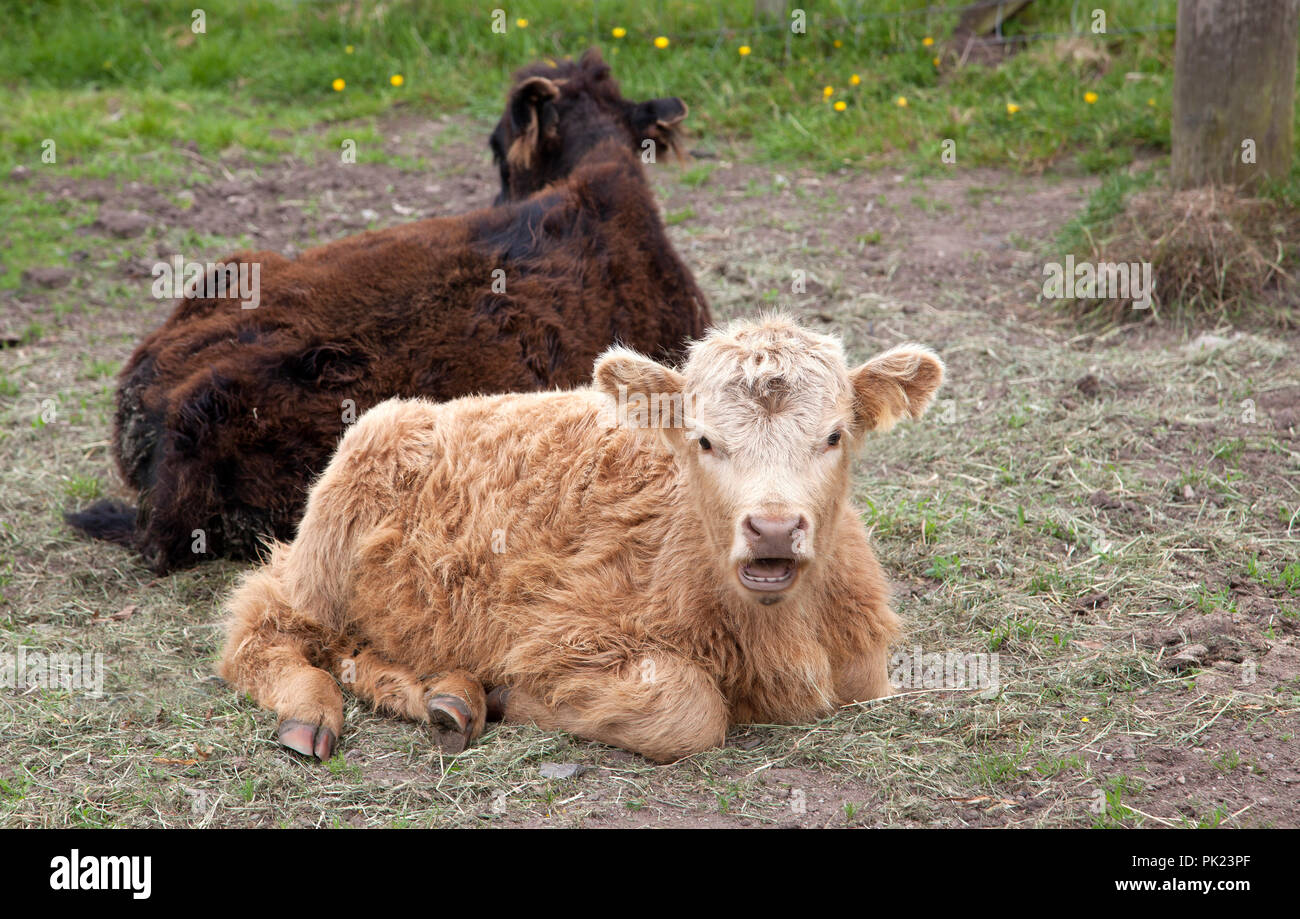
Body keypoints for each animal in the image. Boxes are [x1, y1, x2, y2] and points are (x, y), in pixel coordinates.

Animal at [218, 316, 945, 763]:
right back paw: (315, 715)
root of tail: (411, 409)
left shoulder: (862, 664)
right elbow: (688, 708)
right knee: (259, 628)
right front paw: (518, 698)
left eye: (834, 435)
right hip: (318, 569)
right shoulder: (563, 631)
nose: (772, 528)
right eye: (705, 440)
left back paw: (447, 696)